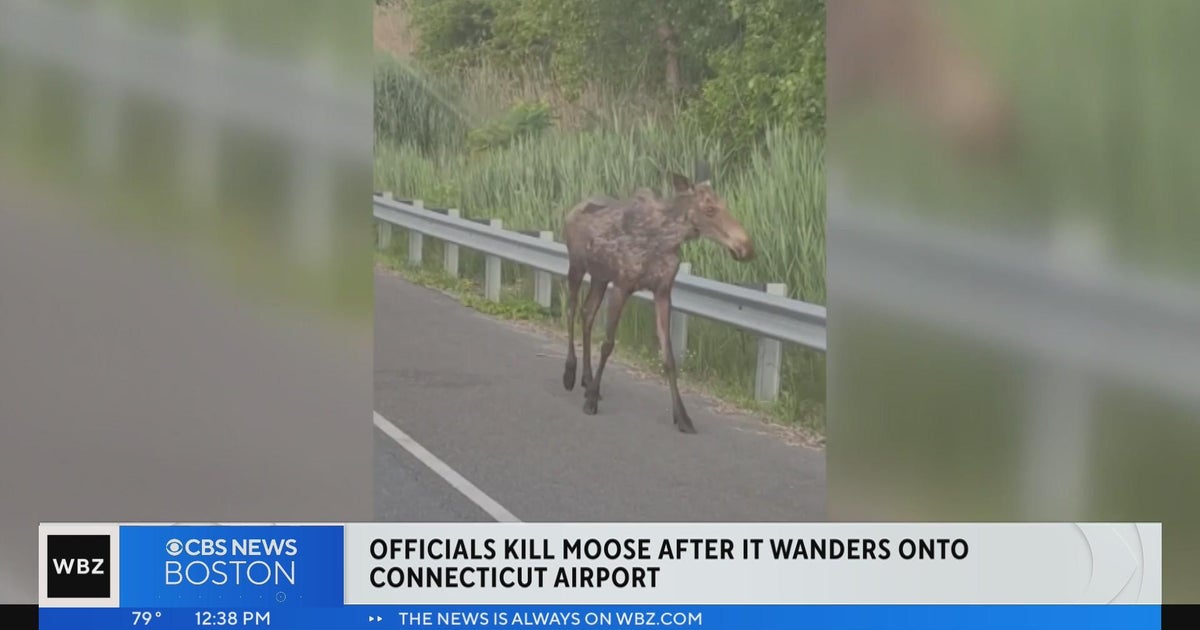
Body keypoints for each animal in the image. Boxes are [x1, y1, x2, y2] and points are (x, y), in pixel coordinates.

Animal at [560, 168, 754, 434]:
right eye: (709, 209)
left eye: (724, 204)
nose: (746, 247)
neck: (666, 241)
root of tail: (571, 210)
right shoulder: (622, 286)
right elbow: (608, 344)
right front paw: (590, 402)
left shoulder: (662, 292)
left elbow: (669, 356)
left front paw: (683, 417)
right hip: (577, 266)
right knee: (570, 309)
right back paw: (570, 373)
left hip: (599, 277)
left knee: (586, 313)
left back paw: (587, 380)